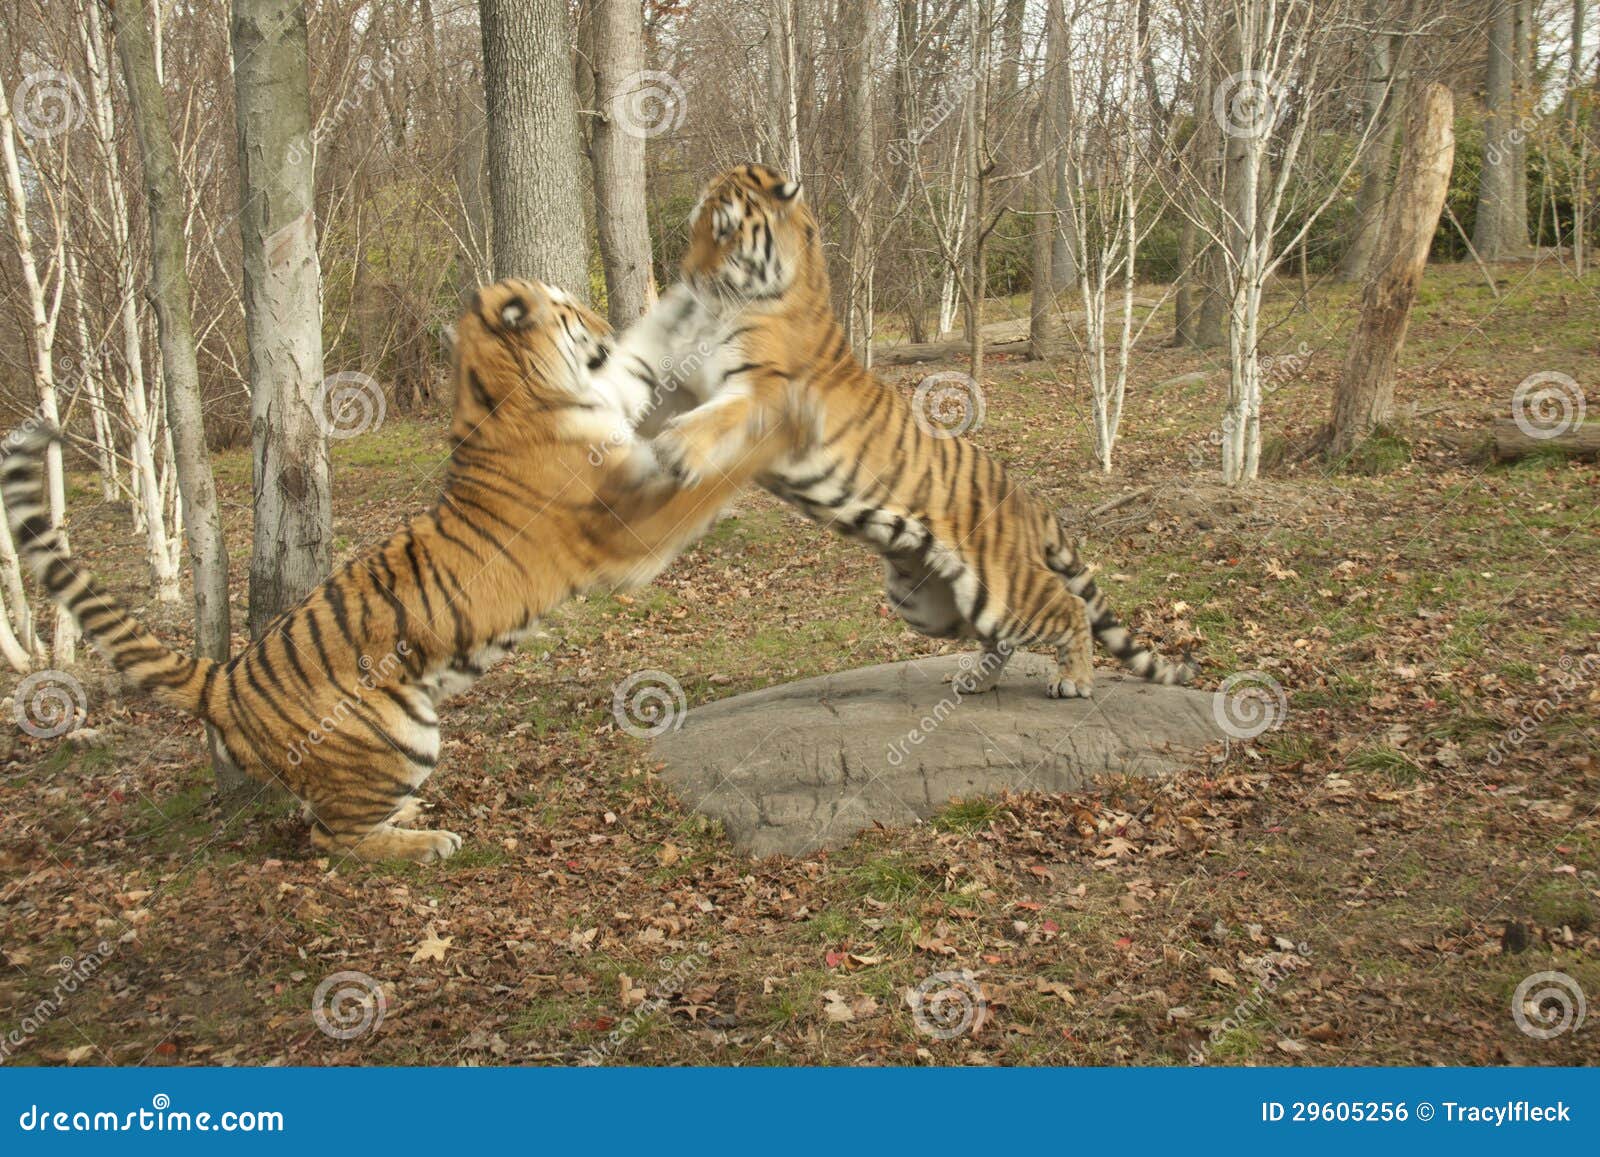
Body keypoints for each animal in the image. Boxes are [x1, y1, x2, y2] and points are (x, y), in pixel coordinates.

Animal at [1, 278, 802, 863]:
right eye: (571, 310)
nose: (604, 323)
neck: (505, 387)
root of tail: (222, 677)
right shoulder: (625, 525)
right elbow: (709, 482)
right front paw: (779, 420)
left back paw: (414, 814)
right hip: (400, 730)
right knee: (332, 837)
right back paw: (427, 841)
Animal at [621, 163, 1195, 699]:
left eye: (722, 231)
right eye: (696, 227)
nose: (688, 276)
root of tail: (1027, 498)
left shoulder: (768, 395)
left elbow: (716, 417)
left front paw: (674, 446)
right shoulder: (691, 380)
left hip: (1004, 588)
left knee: (1069, 604)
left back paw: (1073, 680)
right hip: (928, 605)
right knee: (1002, 635)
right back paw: (977, 680)